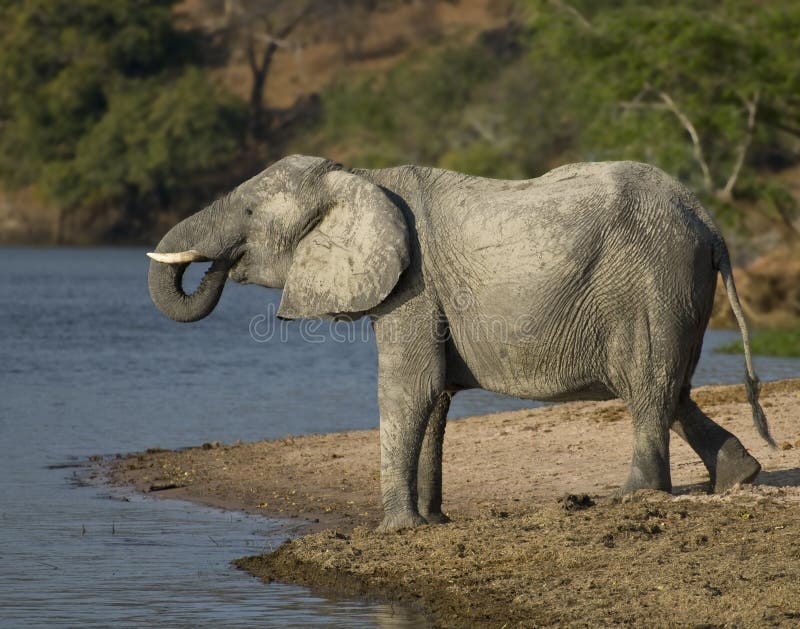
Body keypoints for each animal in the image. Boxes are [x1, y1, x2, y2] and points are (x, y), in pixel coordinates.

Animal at [147, 155, 774, 532]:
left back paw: (635, 497)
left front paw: (394, 530)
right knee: (673, 387)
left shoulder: (415, 283)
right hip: (675, 288)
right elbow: (437, 395)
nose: (217, 266)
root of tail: (707, 219)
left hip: (651, 279)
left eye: (250, 211)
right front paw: (431, 524)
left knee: (648, 384)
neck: (362, 176)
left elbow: (409, 388)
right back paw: (739, 478)